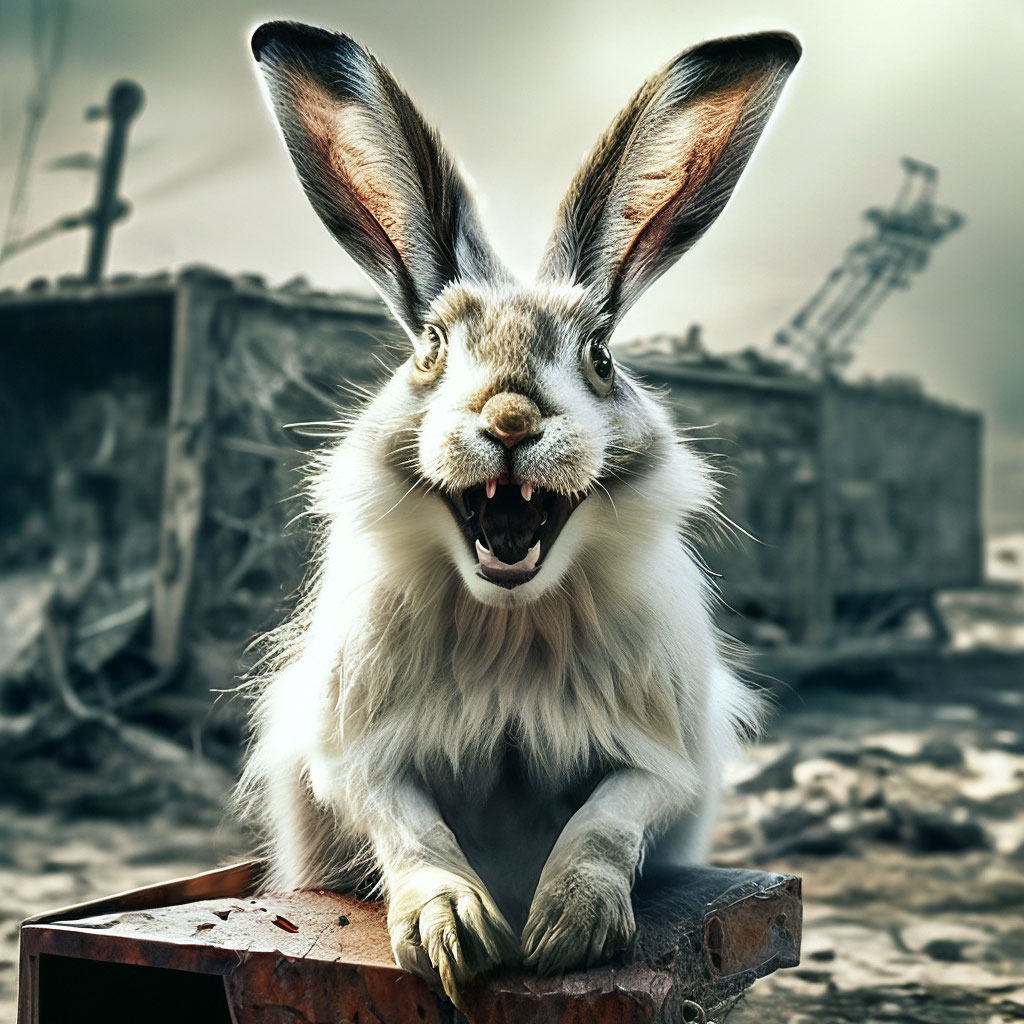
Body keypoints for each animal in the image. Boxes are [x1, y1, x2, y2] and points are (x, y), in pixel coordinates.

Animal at [239, 19, 800, 1006]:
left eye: (602, 356)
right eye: (430, 346)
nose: (508, 420)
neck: (509, 618)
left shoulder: (663, 760)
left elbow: (609, 817)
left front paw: (568, 926)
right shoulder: (357, 759)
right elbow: (412, 829)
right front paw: (454, 931)